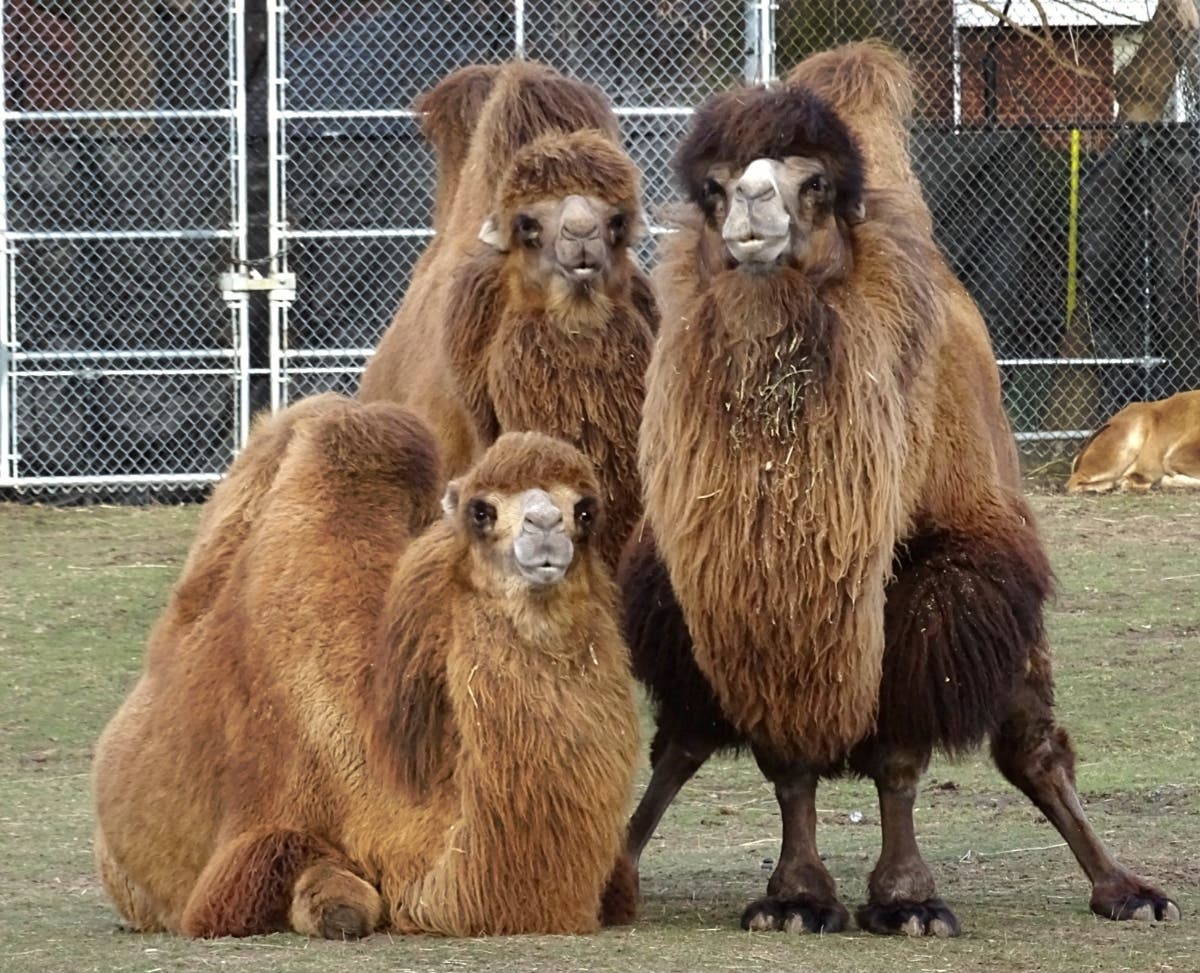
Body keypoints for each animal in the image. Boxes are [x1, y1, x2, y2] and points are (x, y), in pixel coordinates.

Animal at [615, 42, 1179, 936]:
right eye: (715, 186)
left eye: (814, 183)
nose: (752, 205)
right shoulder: (735, 594)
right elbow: (786, 759)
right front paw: (796, 897)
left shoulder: (933, 573)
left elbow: (902, 754)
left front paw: (908, 897)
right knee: (682, 742)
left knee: (1035, 746)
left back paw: (1126, 887)